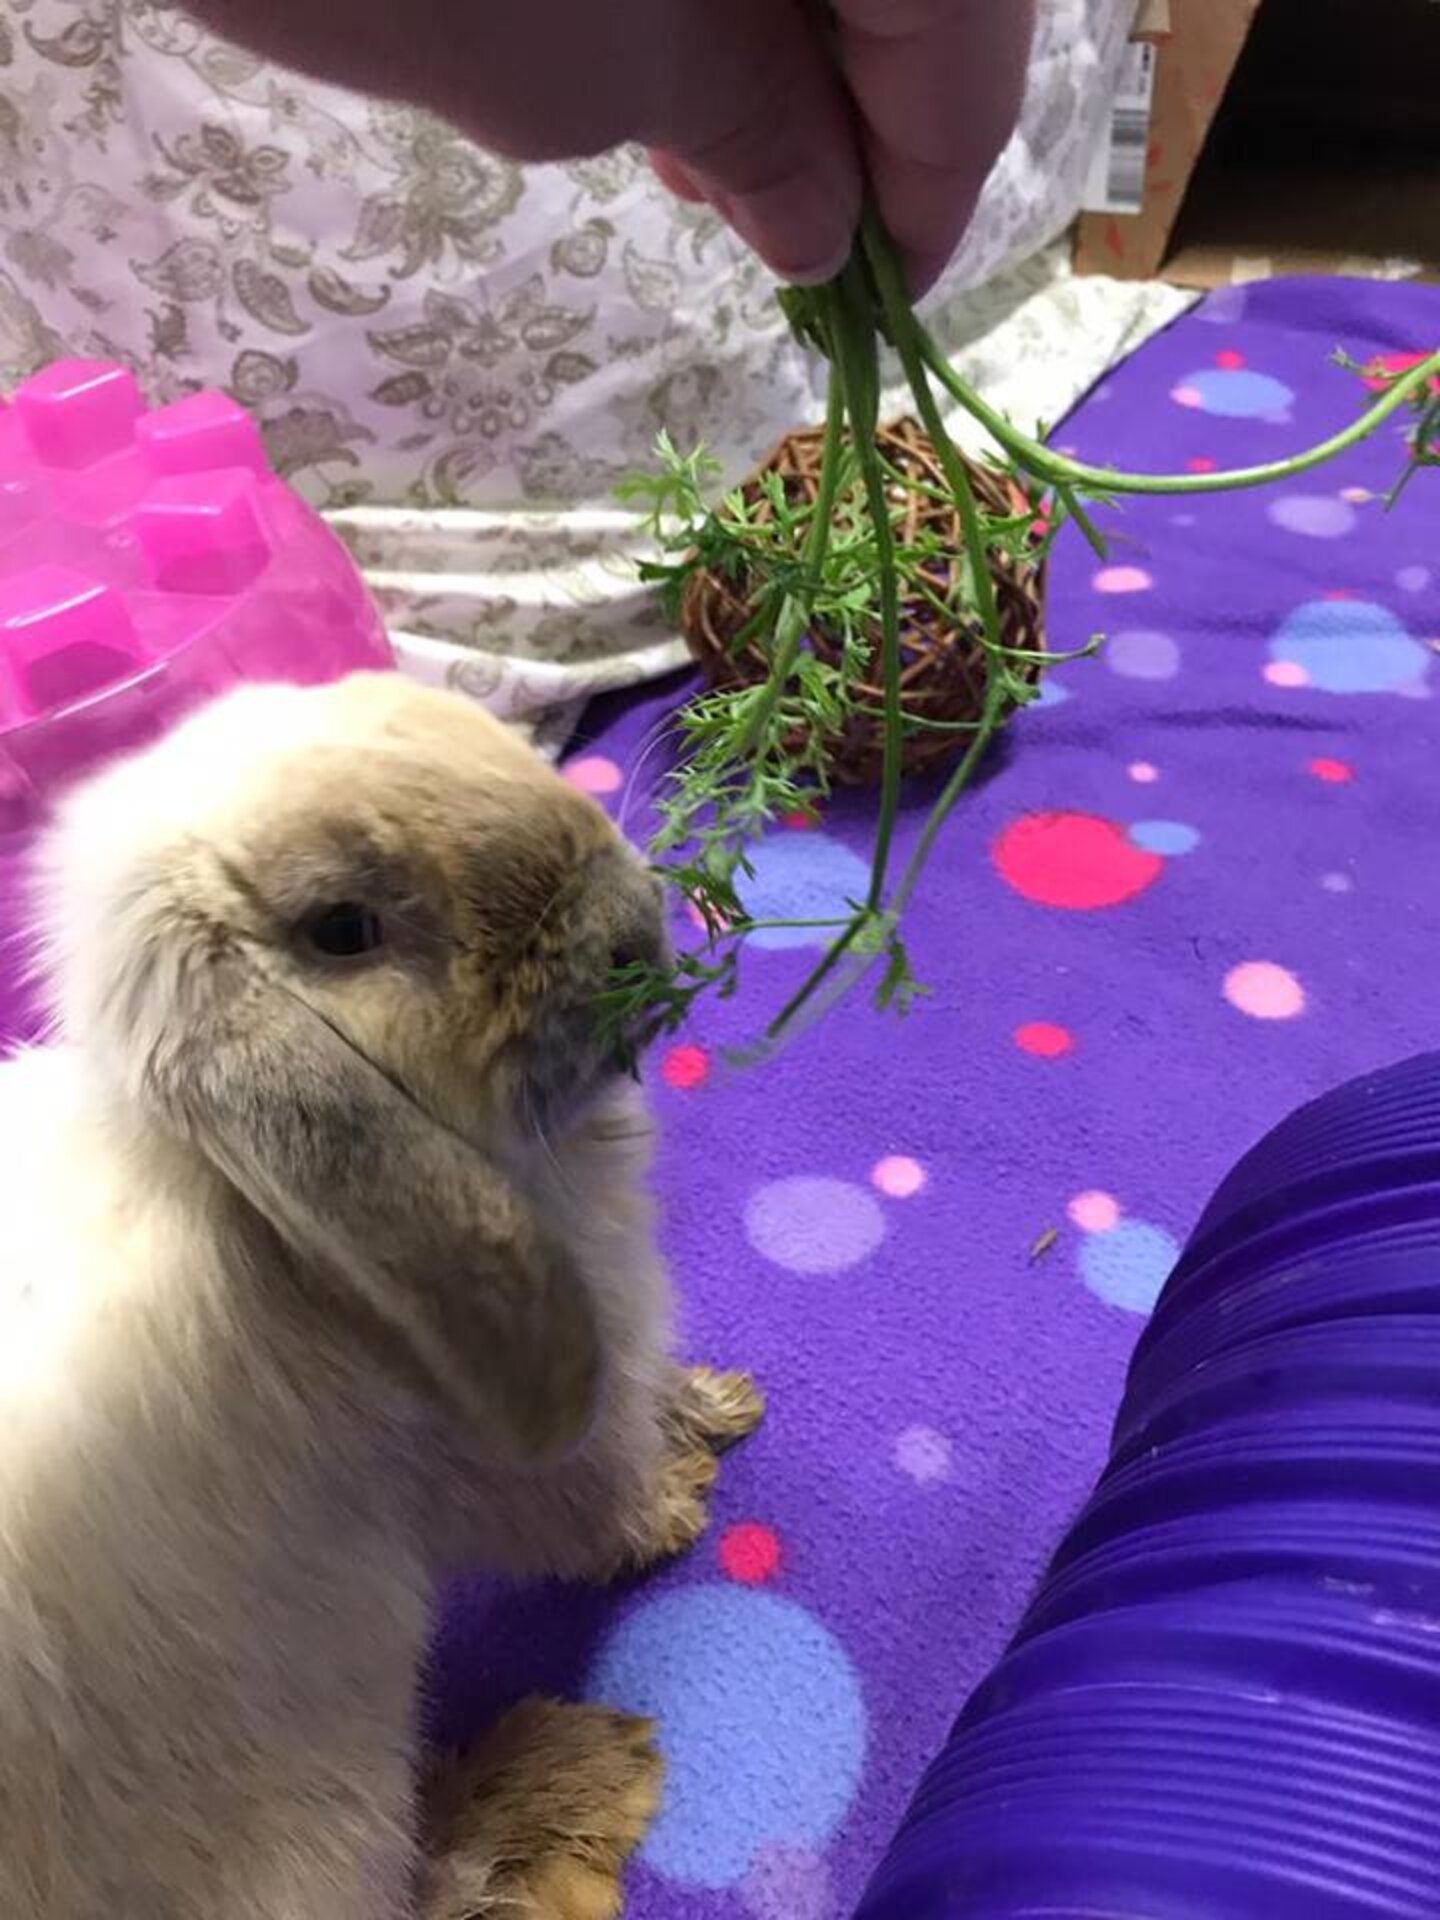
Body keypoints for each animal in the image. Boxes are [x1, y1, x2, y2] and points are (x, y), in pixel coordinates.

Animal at [0, 671, 763, 1920]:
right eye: (342, 930)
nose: (630, 933)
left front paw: (718, 1402)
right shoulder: (524, 1443)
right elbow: (602, 1494)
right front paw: (680, 1501)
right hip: (325, 1811)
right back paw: (572, 1771)